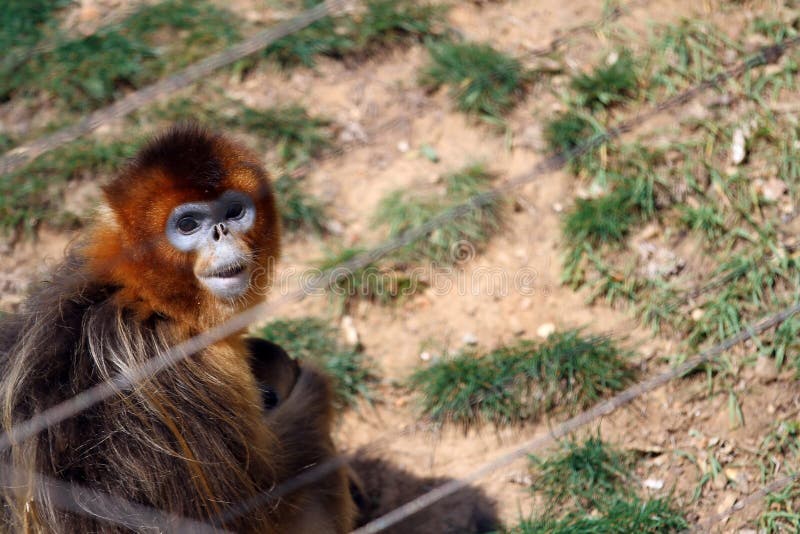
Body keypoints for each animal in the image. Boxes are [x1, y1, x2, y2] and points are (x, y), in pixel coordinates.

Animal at [0, 124, 357, 532]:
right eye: (188, 225)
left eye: (234, 212)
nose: (221, 231)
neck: (145, 300)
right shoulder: (186, 365)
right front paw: (314, 385)